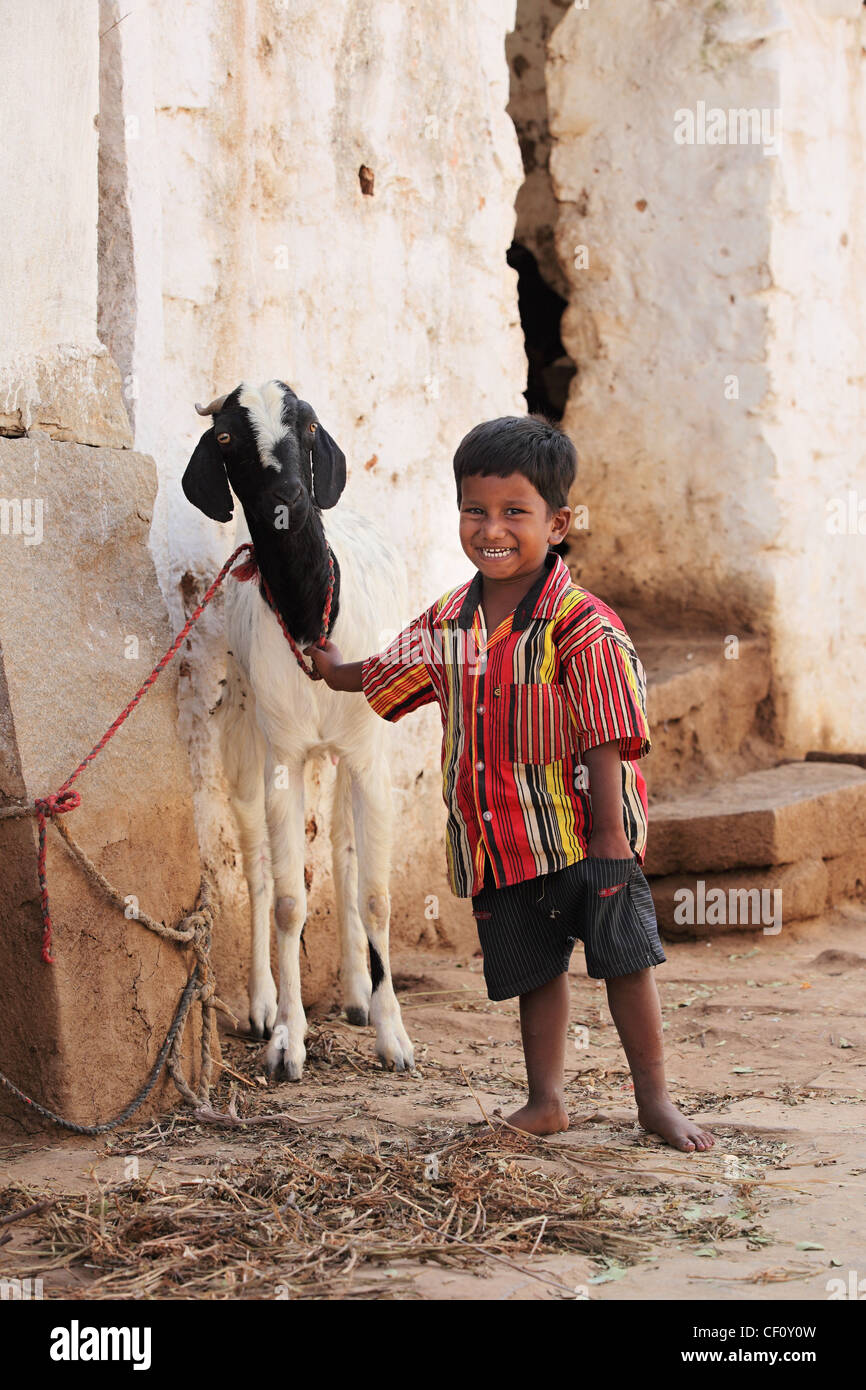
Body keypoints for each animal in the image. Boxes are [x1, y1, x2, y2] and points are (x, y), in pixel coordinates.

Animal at [182, 380, 414, 1081]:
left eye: (308, 427)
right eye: (227, 436)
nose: (286, 499)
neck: (313, 622)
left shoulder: (369, 758)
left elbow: (376, 894)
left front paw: (394, 1036)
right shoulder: (281, 755)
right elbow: (286, 899)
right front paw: (288, 1037)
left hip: (352, 750)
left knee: (341, 847)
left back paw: (358, 992)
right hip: (245, 735)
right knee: (259, 866)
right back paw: (263, 1003)